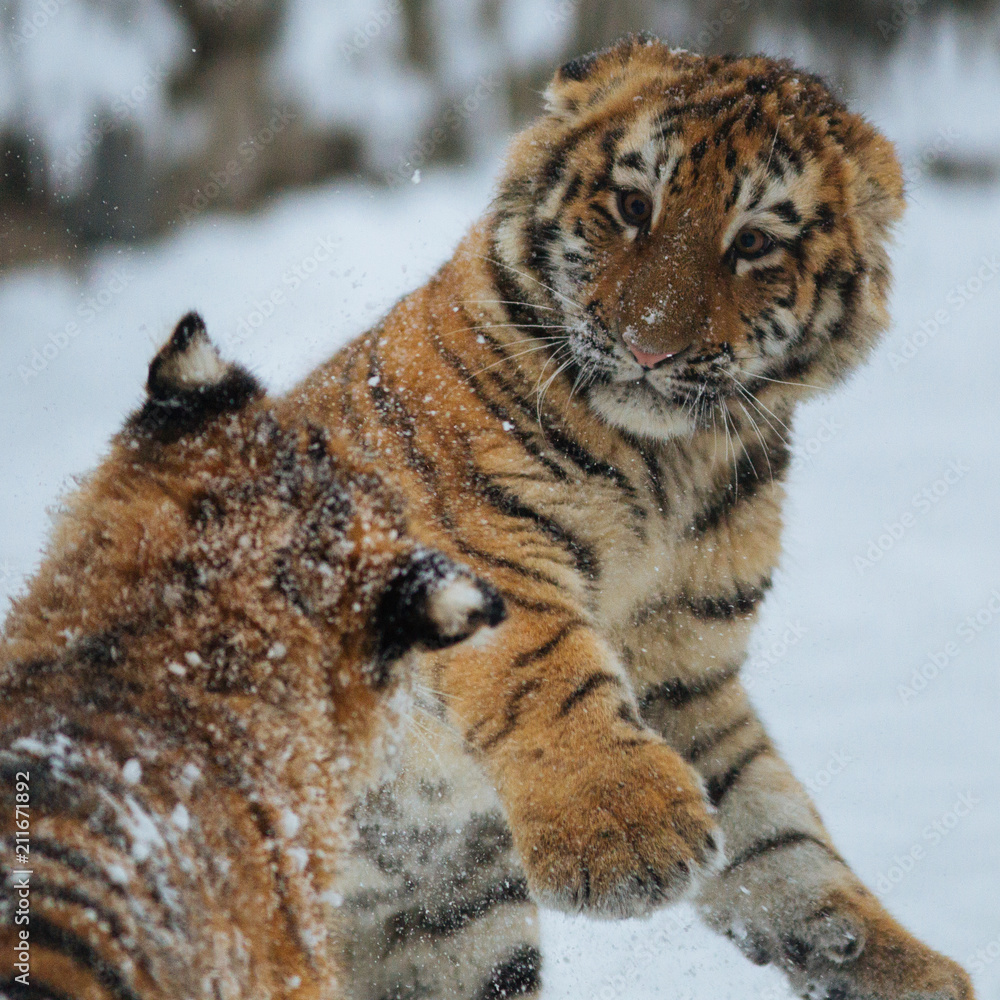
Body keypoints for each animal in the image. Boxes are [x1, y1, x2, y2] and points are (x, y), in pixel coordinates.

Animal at [287, 35, 975, 1000]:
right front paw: (621, 837)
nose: (650, 346)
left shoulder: (686, 676)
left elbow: (783, 842)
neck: (670, 467)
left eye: (753, 243)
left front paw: (898, 965)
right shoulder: (475, 543)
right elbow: (545, 668)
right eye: (633, 205)